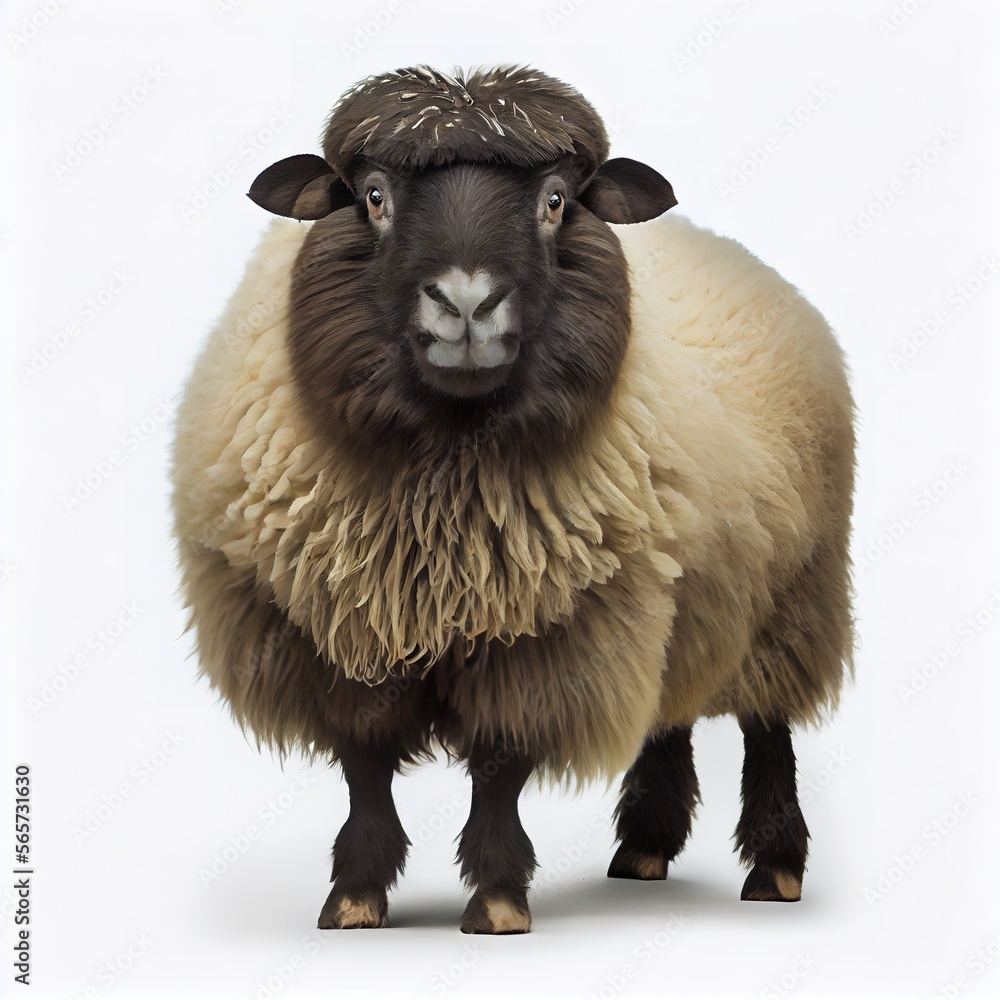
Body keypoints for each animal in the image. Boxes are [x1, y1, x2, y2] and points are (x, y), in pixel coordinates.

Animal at [171, 64, 855, 934]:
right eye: (372, 195)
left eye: (556, 200)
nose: (466, 304)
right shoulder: (339, 634)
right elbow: (365, 769)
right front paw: (356, 895)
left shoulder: (539, 633)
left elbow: (498, 767)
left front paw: (496, 897)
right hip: (682, 596)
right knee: (667, 716)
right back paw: (644, 851)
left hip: (789, 601)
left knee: (770, 728)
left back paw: (774, 867)